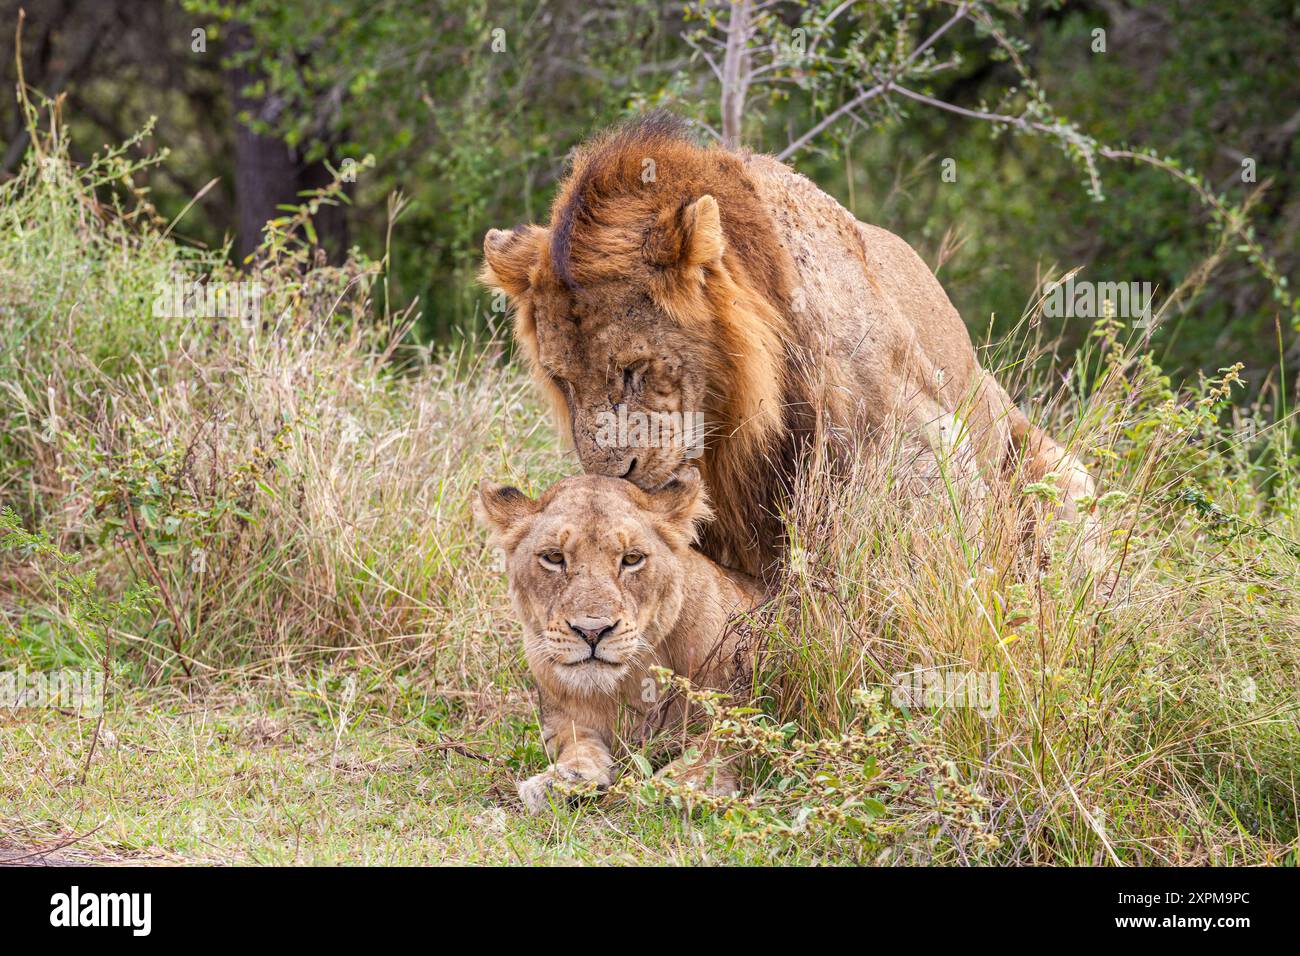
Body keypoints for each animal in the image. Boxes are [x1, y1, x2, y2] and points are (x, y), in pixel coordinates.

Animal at [475, 468, 761, 813]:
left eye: (632, 558)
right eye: (554, 557)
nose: (592, 631)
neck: (631, 684)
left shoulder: (755, 708)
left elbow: (718, 743)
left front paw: (679, 783)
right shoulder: (562, 722)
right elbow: (578, 745)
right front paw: (561, 780)